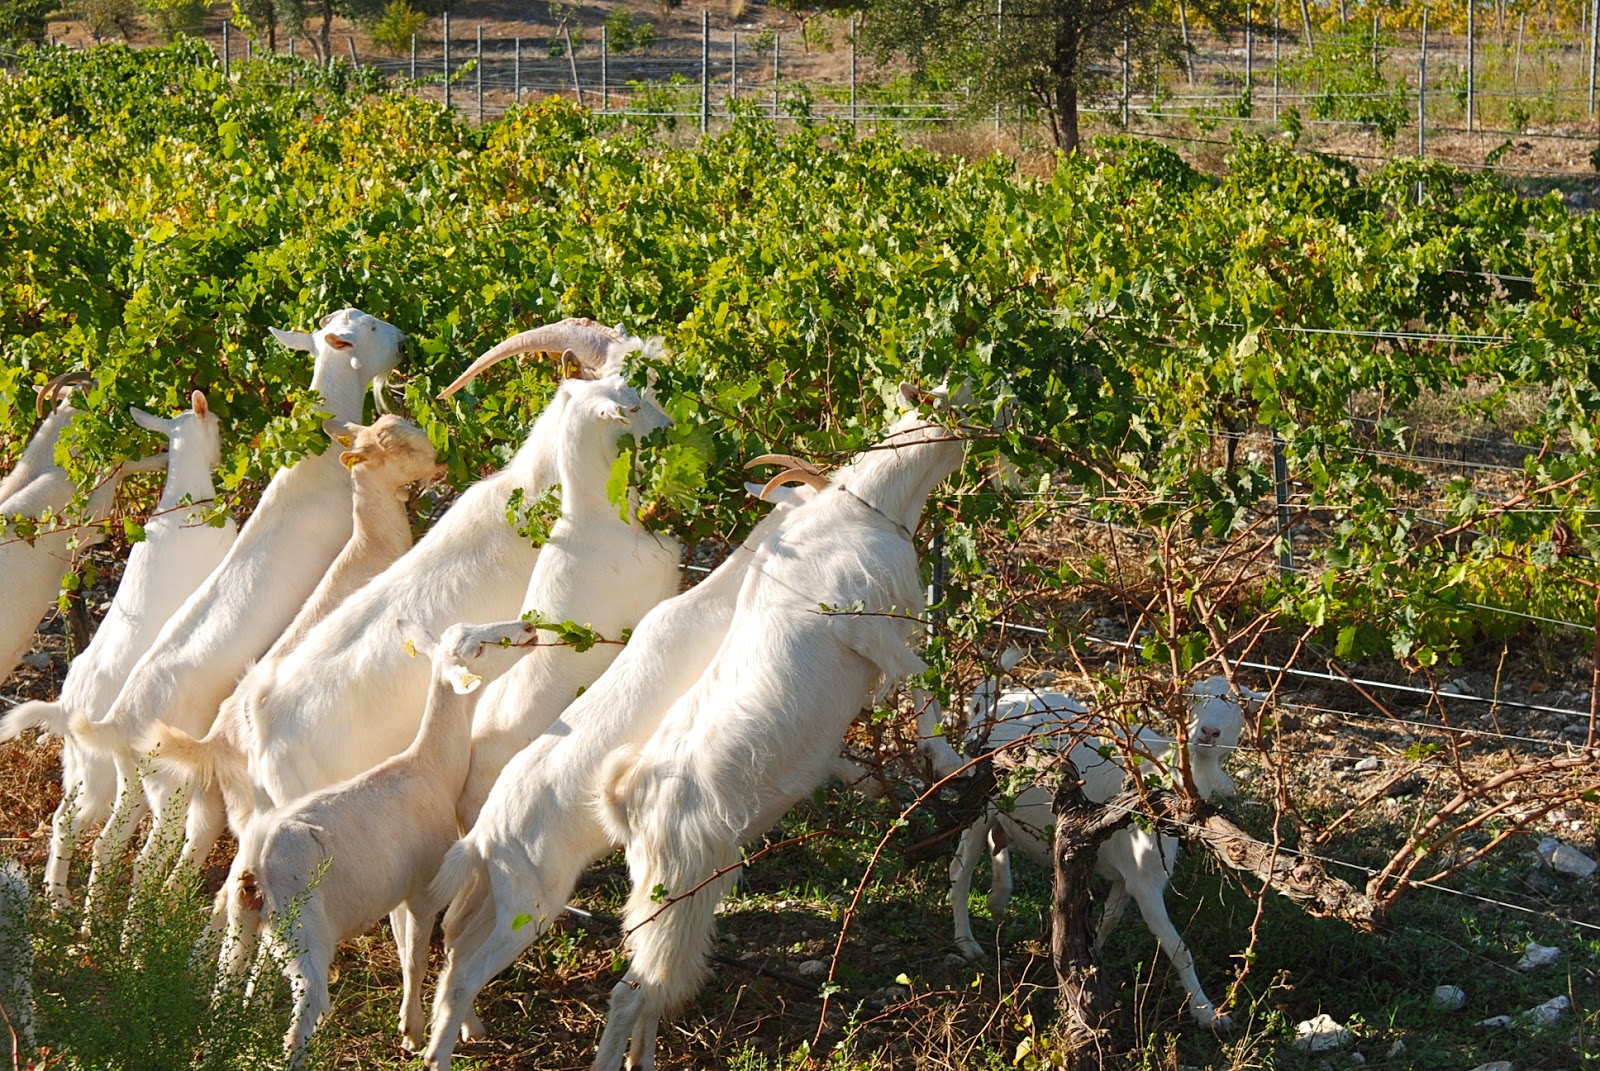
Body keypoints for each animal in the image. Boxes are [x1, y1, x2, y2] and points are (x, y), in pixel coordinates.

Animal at [0, 393, 235, 907]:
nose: (223, 452)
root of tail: (65, 709)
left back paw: (60, 899)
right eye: (217, 424)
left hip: (79, 769)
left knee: (63, 818)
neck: (181, 504)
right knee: (81, 825)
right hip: (105, 777)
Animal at [68, 309, 405, 910]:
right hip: (172, 788)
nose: (405, 344)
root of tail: (121, 718)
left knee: (111, 844)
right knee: (150, 859)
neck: (318, 450)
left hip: (138, 784)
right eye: (364, 330)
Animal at [221, 619, 541, 1064]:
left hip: (249, 923)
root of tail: (255, 863)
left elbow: (405, 950)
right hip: (305, 931)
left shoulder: (396, 891)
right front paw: (415, 1031)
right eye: (478, 650)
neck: (432, 768)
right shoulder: (424, 889)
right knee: (303, 1017)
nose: (528, 626)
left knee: (233, 991)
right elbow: (418, 959)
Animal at [932, 674, 1256, 1029]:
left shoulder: (1127, 877)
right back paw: (967, 943)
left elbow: (1109, 920)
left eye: (1241, 705)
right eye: (1192, 699)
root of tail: (992, 699)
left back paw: (998, 898)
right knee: (960, 870)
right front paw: (1208, 1013)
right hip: (981, 797)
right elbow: (1178, 948)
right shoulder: (1145, 878)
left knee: (998, 841)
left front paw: (1086, 962)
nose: (1208, 733)